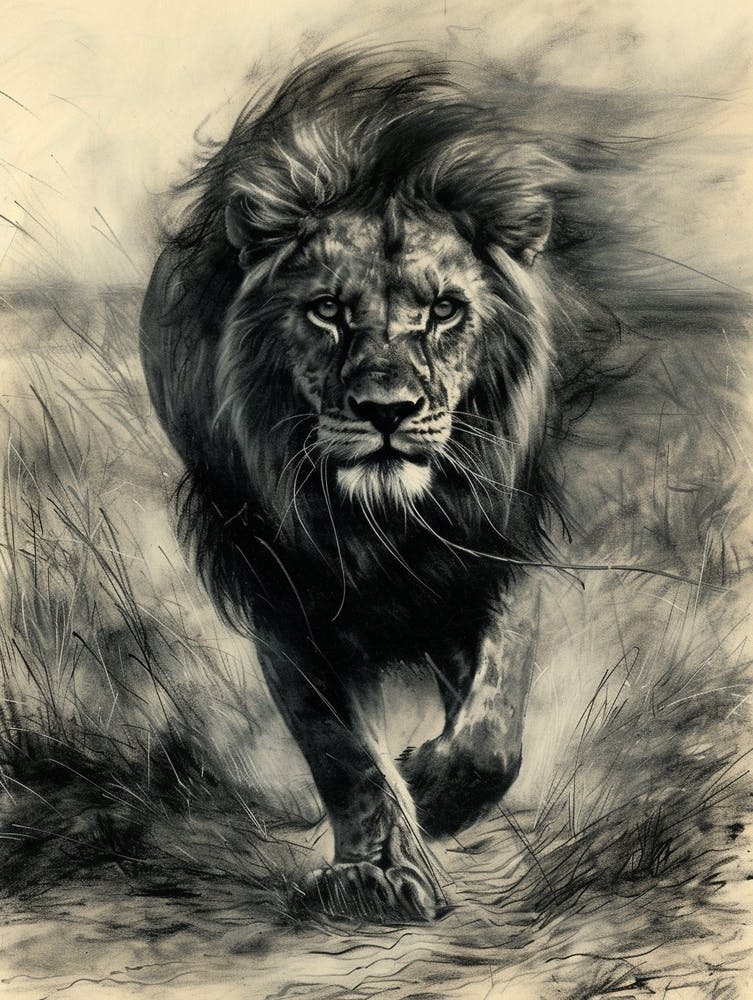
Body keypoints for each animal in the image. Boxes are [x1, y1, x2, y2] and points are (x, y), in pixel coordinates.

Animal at [139, 50, 596, 922]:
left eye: (444, 311)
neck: (380, 521)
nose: (387, 410)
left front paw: (436, 788)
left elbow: (494, 723)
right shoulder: (280, 590)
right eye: (326, 310)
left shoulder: (489, 551)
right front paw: (378, 876)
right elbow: (340, 752)